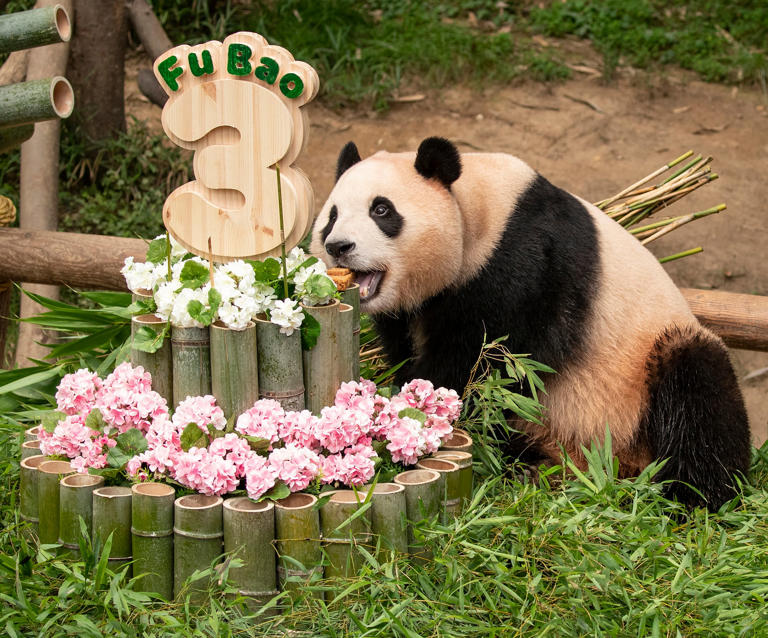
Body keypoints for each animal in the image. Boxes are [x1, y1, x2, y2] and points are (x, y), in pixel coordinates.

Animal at [310, 136, 751, 511]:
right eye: (331, 216)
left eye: (381, 210)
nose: (338, 246)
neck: (479, 210)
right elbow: (409, 347)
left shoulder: (526, 263)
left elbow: (487, 363)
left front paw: (410, 401)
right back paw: (529, 466)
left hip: (642, 374)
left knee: (698, 390)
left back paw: (691, 496)